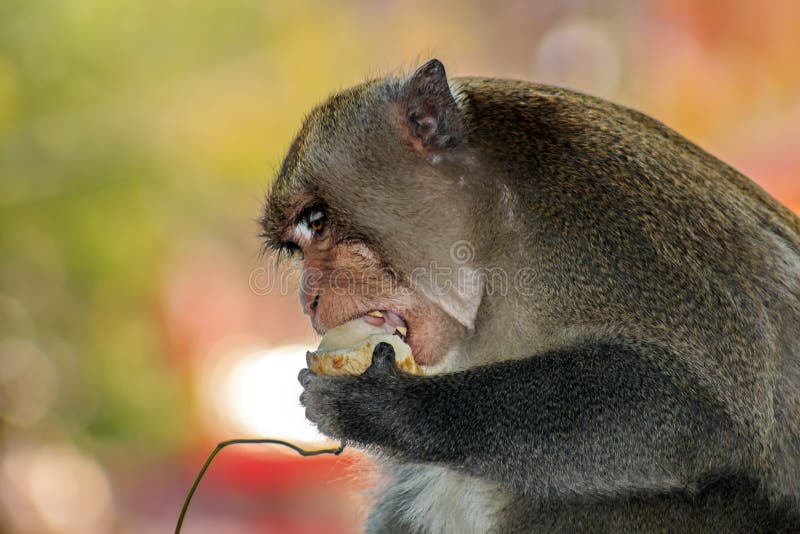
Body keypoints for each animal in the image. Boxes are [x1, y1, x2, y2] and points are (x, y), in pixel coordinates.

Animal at [260, 59, 800, 532]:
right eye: (298, 246)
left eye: (317, 221)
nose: (308, 298)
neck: (496, 227)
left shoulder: (614, 235)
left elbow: (696, 411)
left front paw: (396, 409)